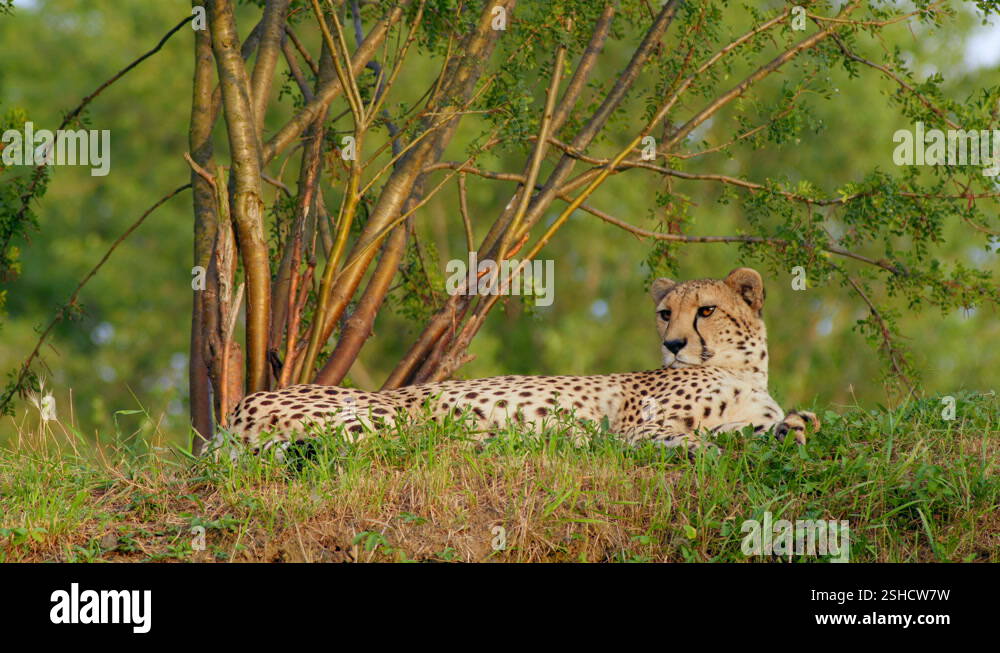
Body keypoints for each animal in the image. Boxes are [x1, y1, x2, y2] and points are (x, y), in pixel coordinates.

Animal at [207, 267, 819, 457]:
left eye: (706, 310)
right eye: (666, 313)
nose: (672, 345)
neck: (743, 369)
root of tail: (236, 408)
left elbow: (764, 428)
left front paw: (793, 426)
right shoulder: (635, 428)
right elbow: (683, 438)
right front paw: (705, 448)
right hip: (381, 419)